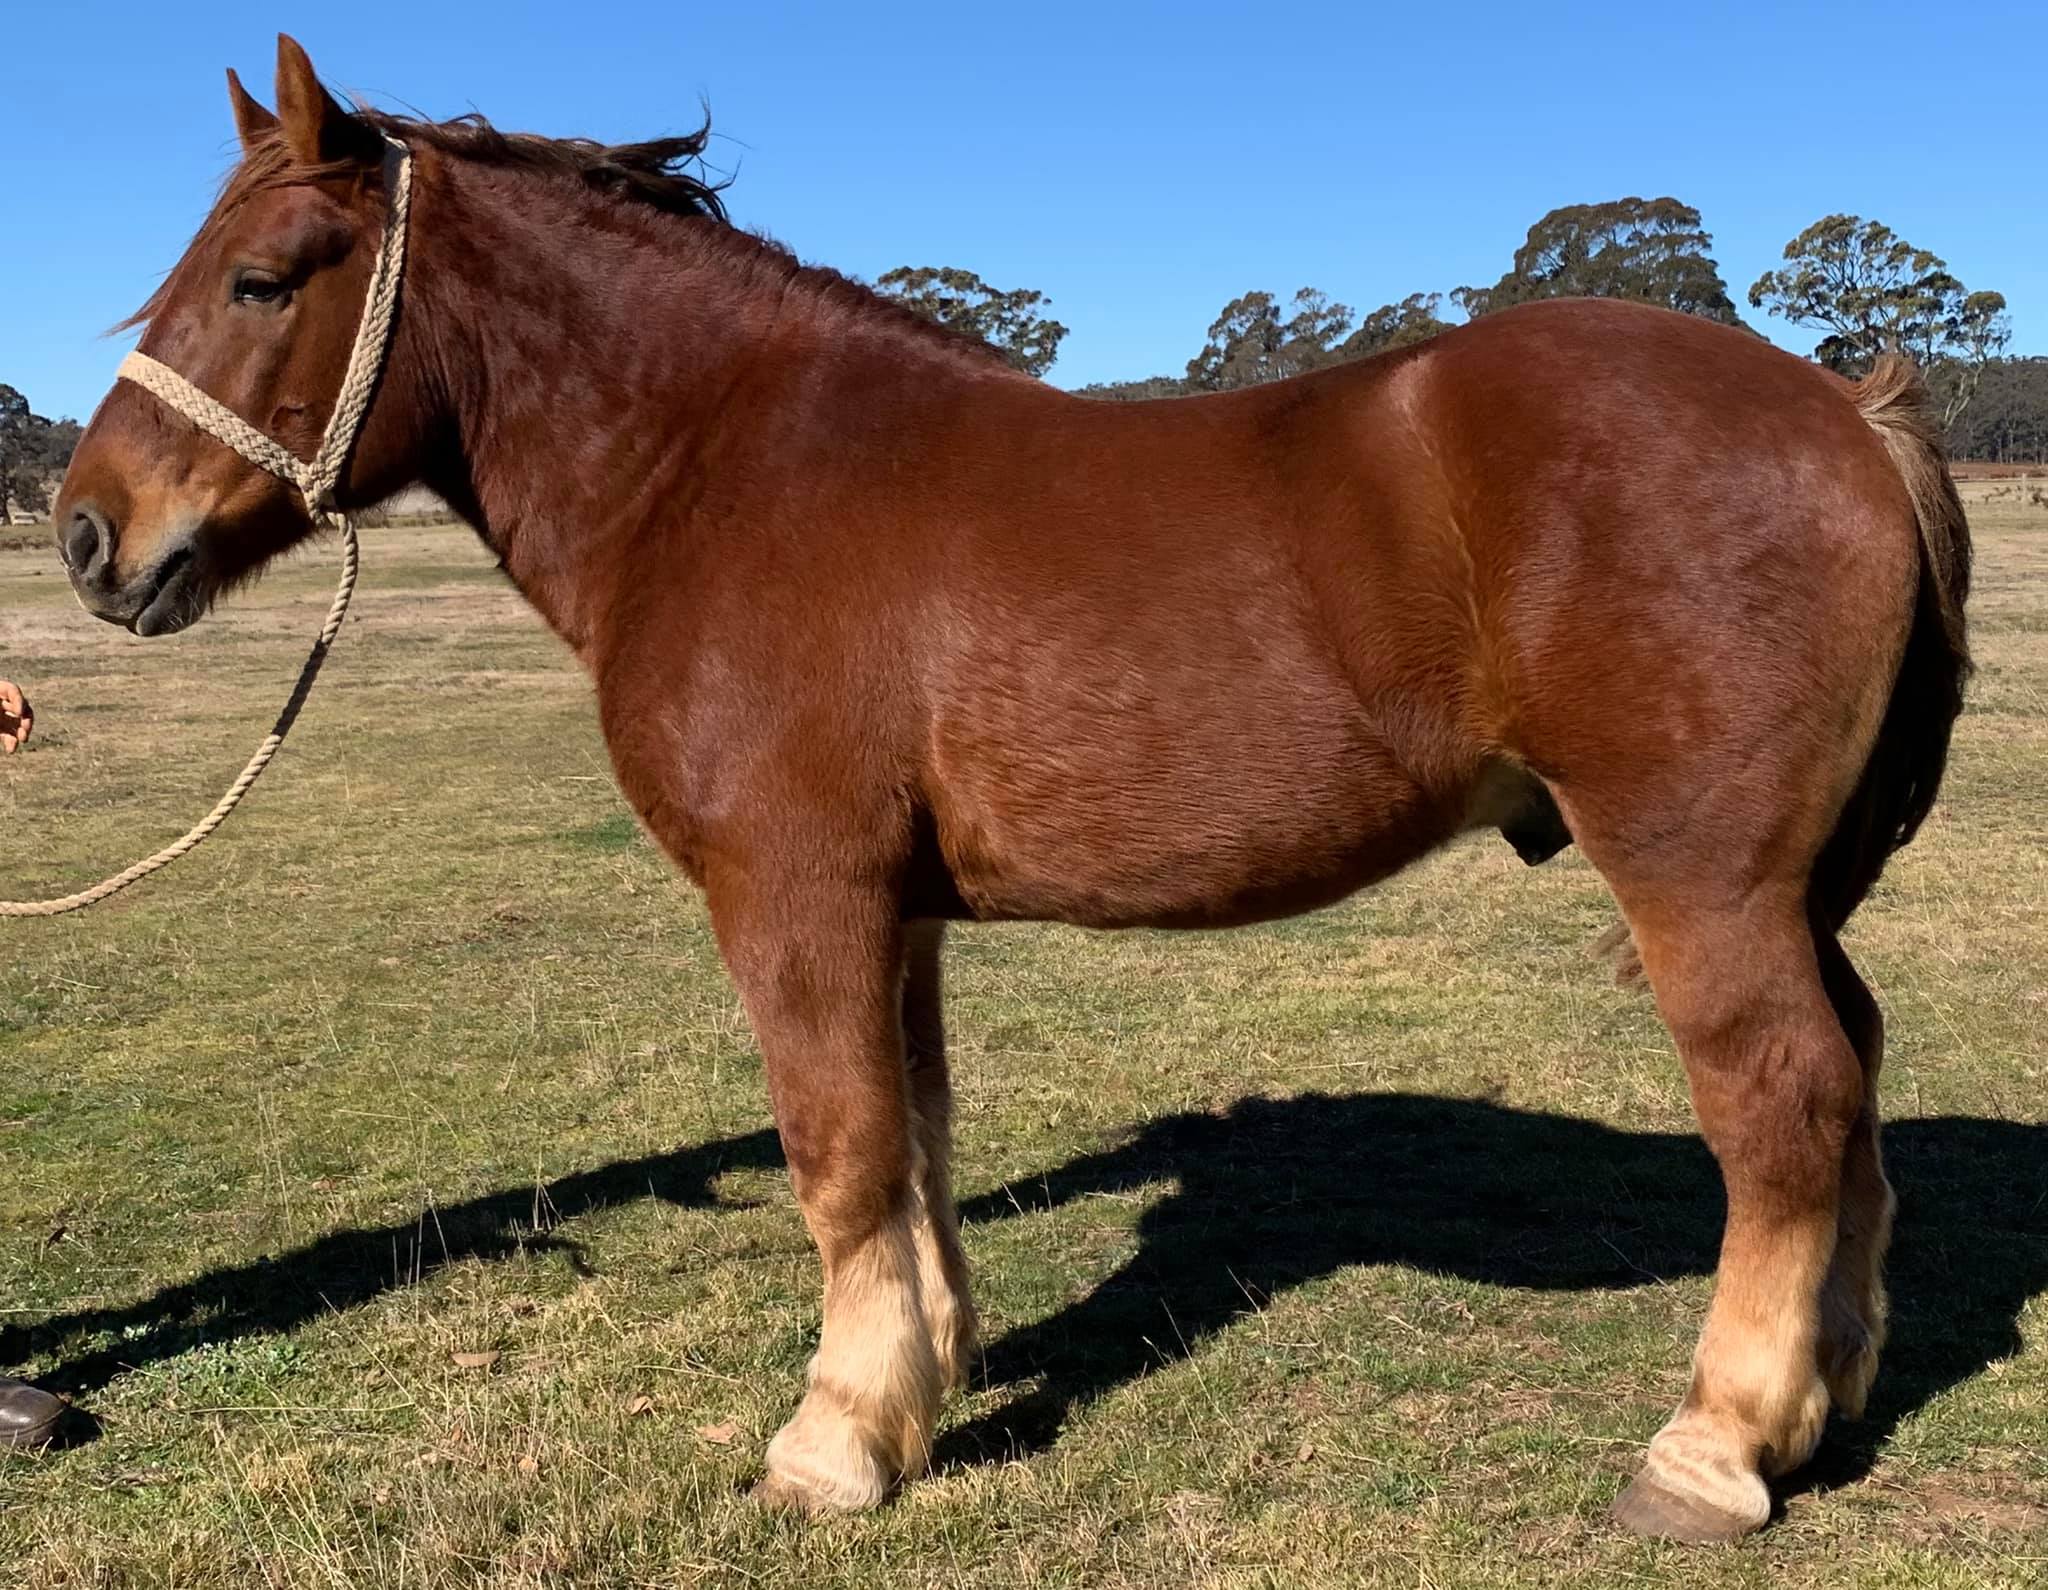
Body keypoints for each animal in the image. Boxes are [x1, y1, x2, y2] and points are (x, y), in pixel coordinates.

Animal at [52, 35, 1969, 1543]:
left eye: (265, 277)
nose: (86, 535)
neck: (721, 463)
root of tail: (1840, 410)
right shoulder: (890, 912)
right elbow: (915, 1138)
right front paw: (926, 1373)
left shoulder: (795, 895)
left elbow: (836, 1152)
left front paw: (833, 1441)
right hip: (1790, 889)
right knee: (1856, 1078)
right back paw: (1829, 1392)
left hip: (1701, 881)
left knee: (1784, 1106)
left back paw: (1714, 1447)